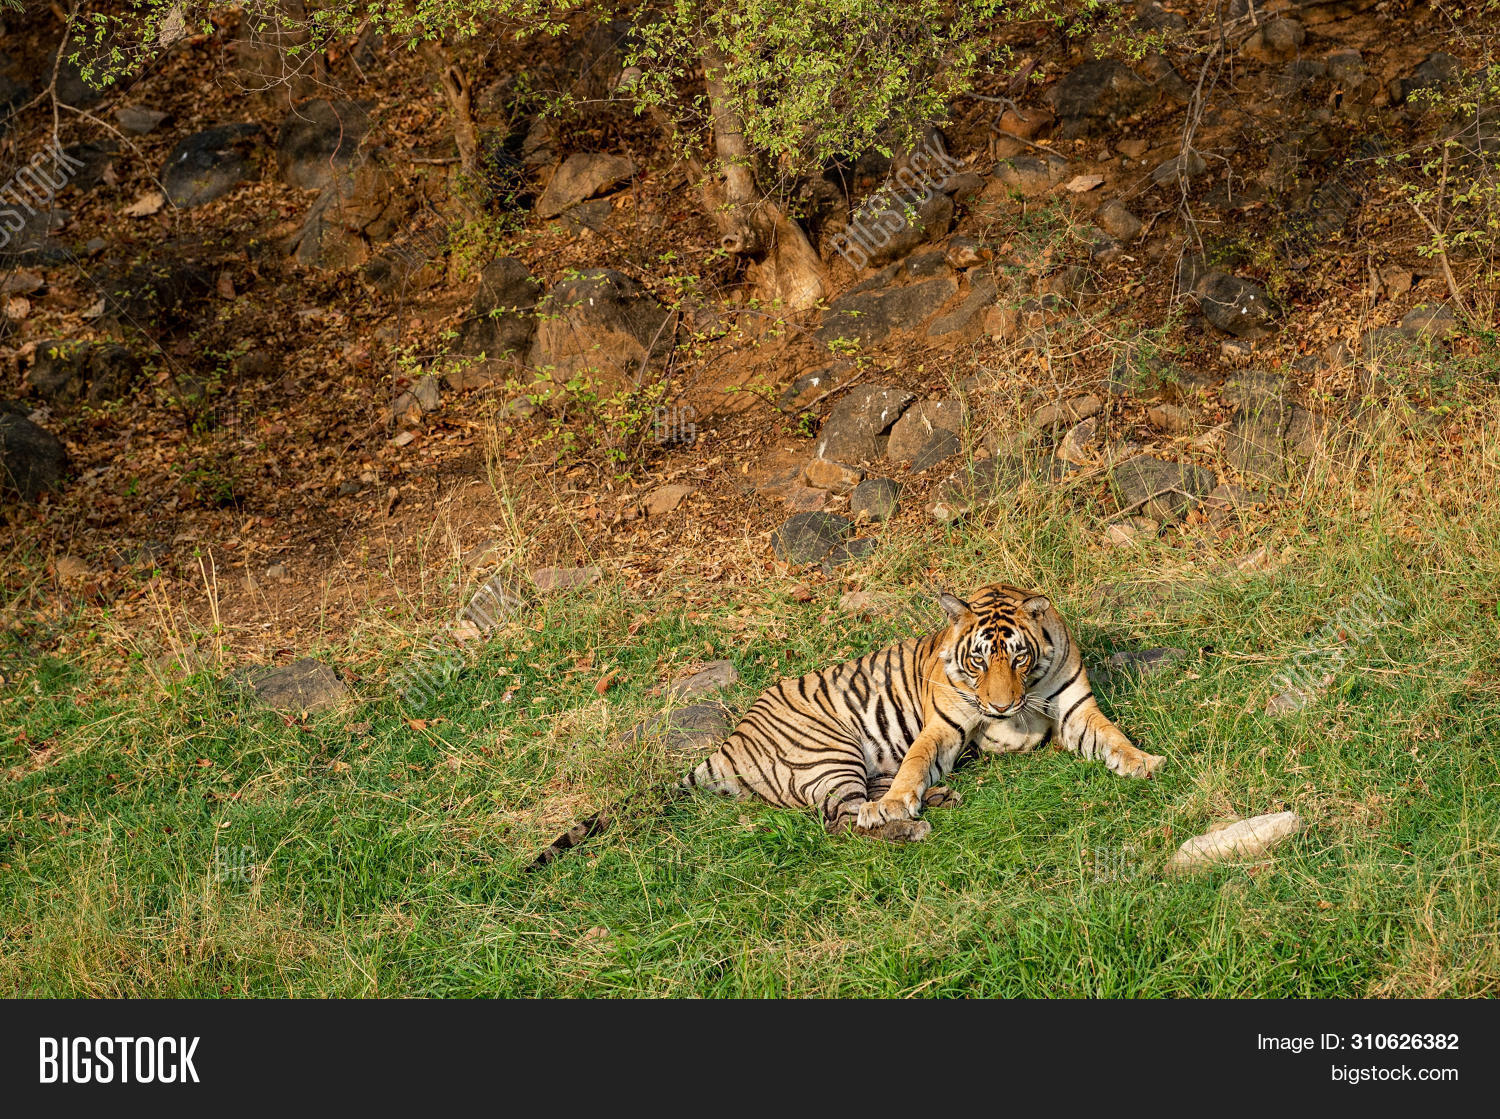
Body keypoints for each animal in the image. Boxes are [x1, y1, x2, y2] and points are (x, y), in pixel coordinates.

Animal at [530, 582, 1161, 866]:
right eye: (979, 660)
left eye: (1019, 658)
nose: (1003, 708)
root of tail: (730, 741)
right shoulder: (942, 725)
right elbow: (914, 763)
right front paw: (904, 802)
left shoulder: (1076, 710)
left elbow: (1113, 737)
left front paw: (1146, 763)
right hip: (828, 753)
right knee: (843, 820)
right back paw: (907, 822)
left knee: (855, 809)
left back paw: (937, 800)